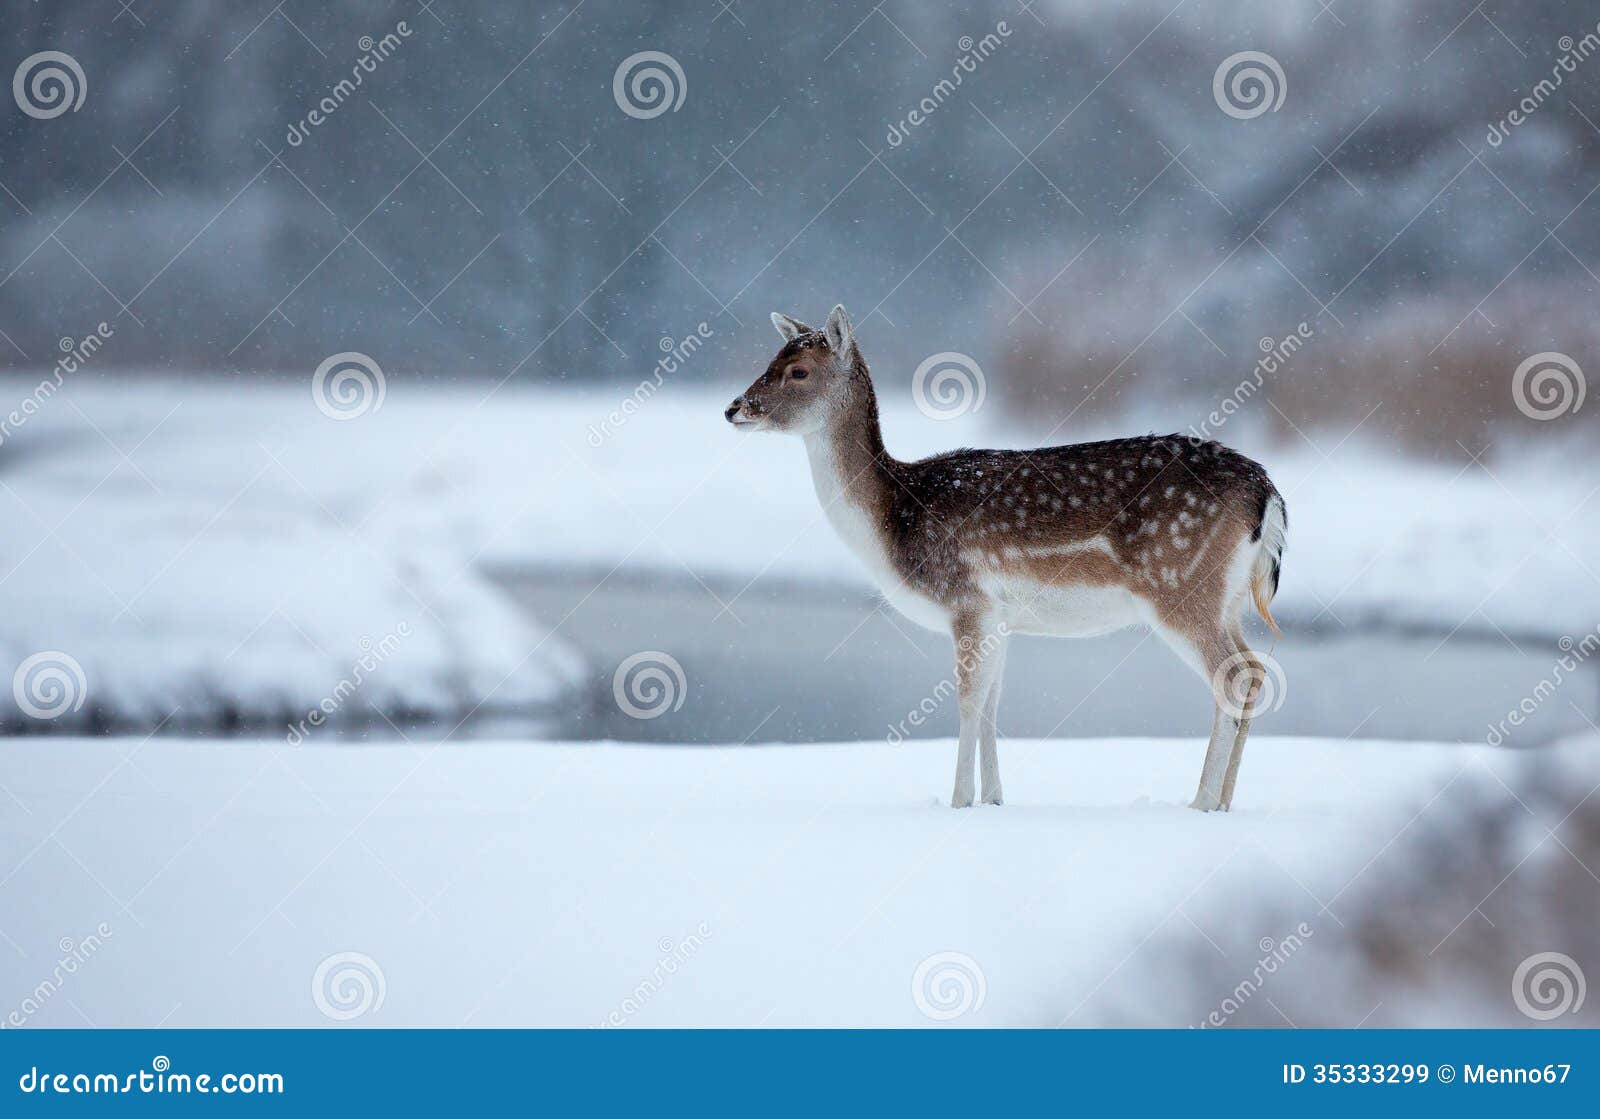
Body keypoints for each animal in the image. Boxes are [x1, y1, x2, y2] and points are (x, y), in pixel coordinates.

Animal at [726, 305, 1287, 812]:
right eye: (772, 358)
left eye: (798, 370)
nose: (735, 408)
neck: (895, 522)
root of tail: (1267, 494)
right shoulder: (1000, 616)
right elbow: (993, 704)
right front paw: (994, 800)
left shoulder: (967, 600)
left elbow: (968, 703)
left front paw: (958, 802)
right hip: (1227, 597)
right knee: (1256, 670)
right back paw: (1223, 803)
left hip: (1180, 583)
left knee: (1233, 676)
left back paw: (1200, 802)